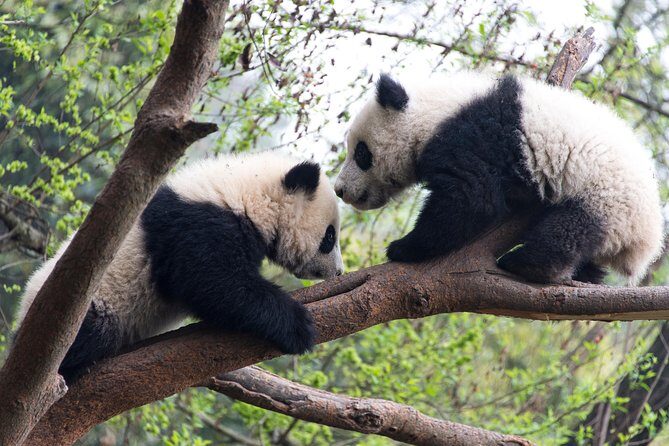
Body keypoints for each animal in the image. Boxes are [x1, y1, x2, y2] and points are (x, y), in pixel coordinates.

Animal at [17, 151, 344, 382]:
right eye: (329, 237)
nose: (338, 272)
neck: (244, 191)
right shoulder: (196, 224)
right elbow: (212, 282)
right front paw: (298, 325)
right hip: (87, 307)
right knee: (92, 333)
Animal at [335, 72, 664, 285]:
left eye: (361, 153)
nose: (340, 190)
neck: (434, 111)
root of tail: (646, 243)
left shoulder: (473, 137)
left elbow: (470, 199)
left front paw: (403, 247)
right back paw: (586, 274)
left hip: (607, 199)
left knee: (571, 230)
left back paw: (526, 264)